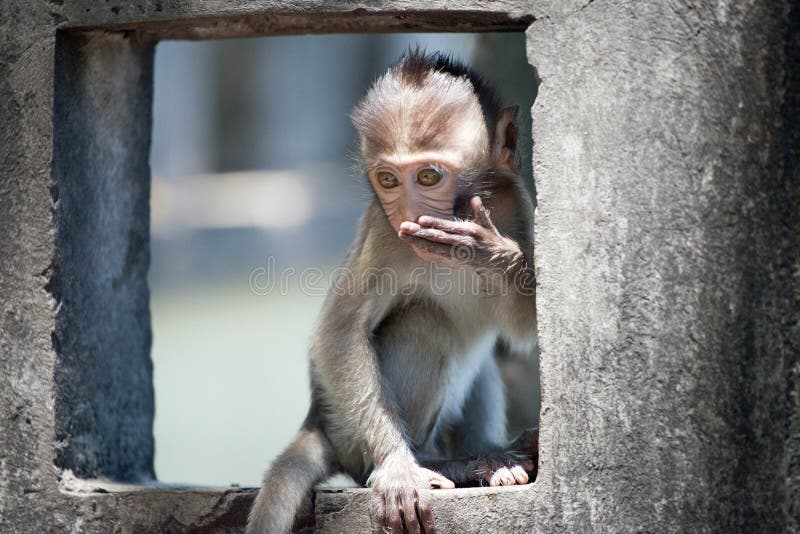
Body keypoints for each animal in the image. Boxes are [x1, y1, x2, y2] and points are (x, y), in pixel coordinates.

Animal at [247, 50, 538, 534]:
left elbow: (525, 329)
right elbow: (341, 331)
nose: (409, 210)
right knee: (427, 323)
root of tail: (318, 418)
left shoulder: (517, 200)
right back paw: (444, 464)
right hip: (349, 435)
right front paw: (399, 469)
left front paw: (488, 251)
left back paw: (492, 455)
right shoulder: (387, 236)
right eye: (387, 181)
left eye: (428, 176)